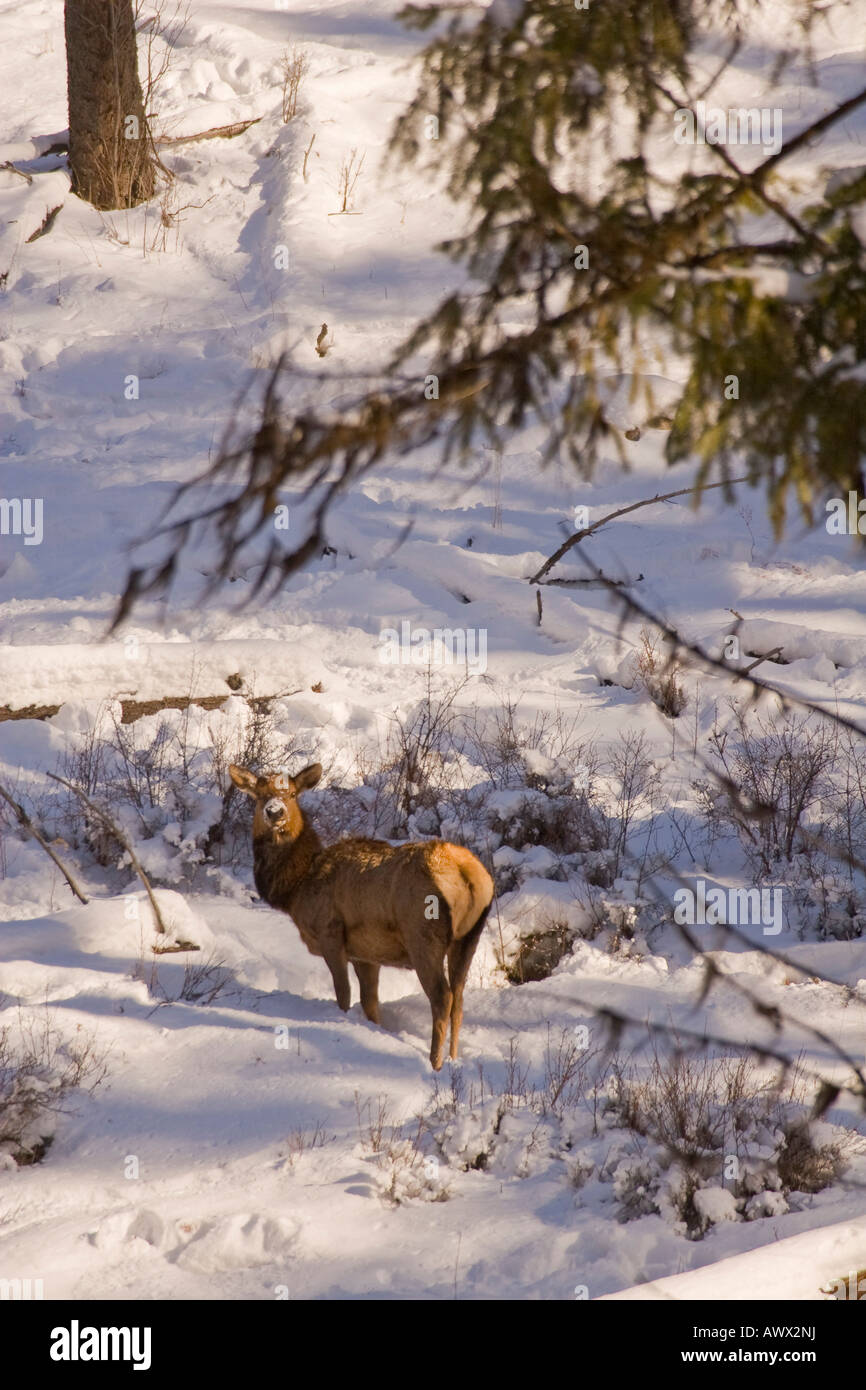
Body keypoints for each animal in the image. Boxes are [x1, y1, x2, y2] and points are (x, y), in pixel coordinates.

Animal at [229, 762, 494, 1070]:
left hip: (422, 935)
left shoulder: (330, 932)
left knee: (443, 996)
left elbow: (343, 994)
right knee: (459, 997)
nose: (275, 812)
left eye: (293, 793)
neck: (297, 887)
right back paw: (453, 1059)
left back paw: (435, 1063)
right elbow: (370, 1004)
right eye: (259, 795)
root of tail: (469, 874)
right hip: (468, 938)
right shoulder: (366, 954)